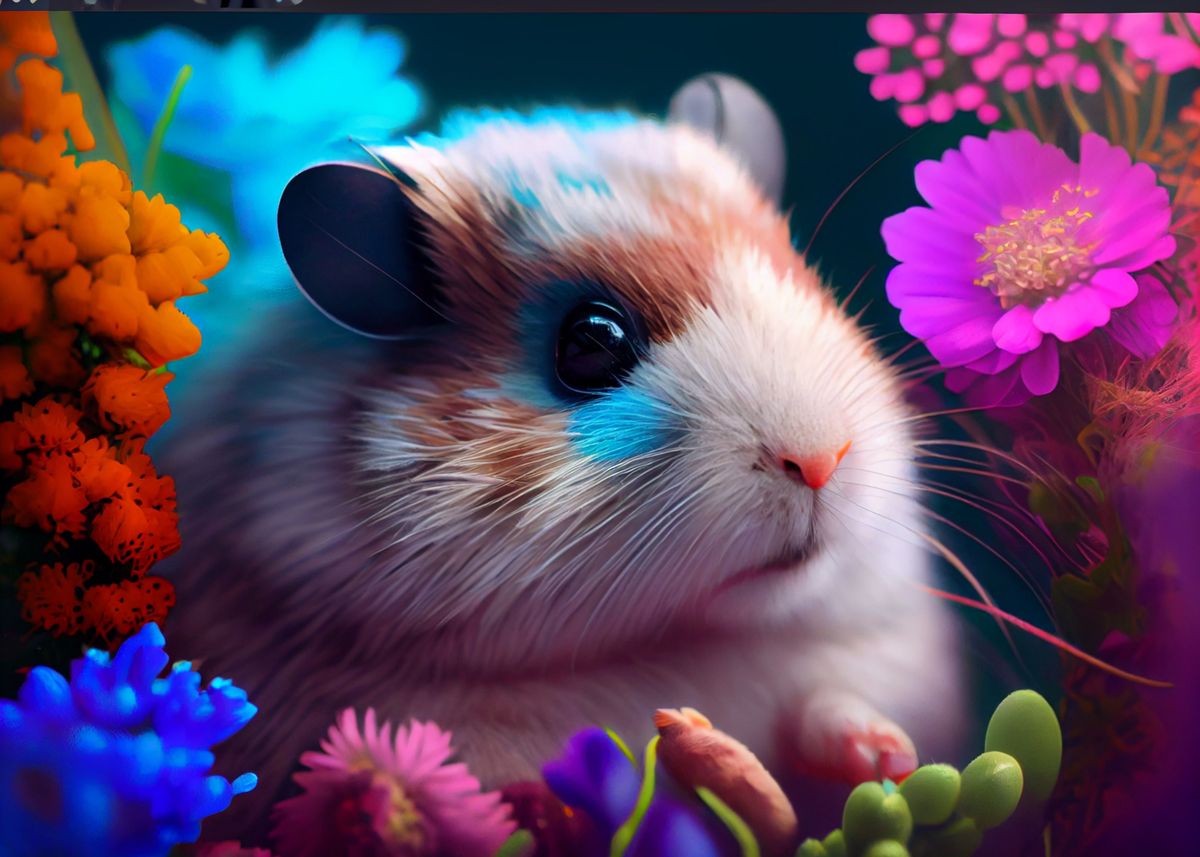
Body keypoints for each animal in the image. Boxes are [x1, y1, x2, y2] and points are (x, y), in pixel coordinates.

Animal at [159, 75, 964, 840]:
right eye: (591, 343)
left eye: (804, 280)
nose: (821, 459)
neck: (675, 648)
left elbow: (832, 710)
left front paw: (880, 754)